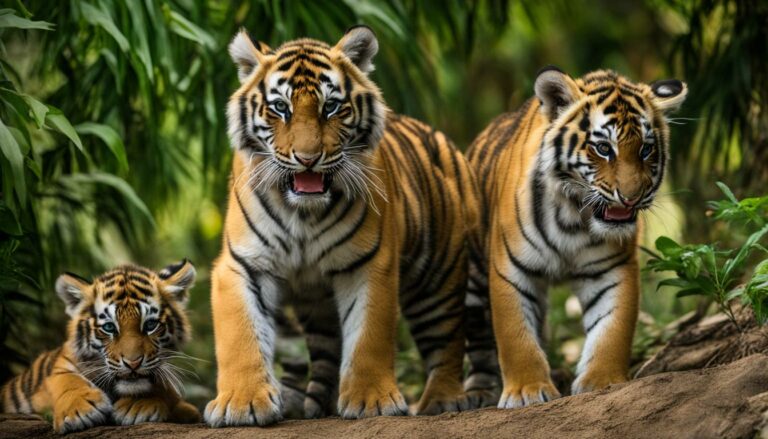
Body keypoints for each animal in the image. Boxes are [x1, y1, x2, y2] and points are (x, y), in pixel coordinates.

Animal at [0, 261, 201, 433]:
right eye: (109, 327)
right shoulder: (57, 370)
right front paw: (79, 410)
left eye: (150, 325)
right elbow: (66, 380)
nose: (133, 363)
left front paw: (138, 406)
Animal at [204, 25, 479, 427]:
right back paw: (314, 406)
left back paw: (442, 399)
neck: (302, 213)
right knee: (324, 351)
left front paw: (370, 401)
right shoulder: (243, 264)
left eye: (330, 106)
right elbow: (240, 336)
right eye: (280, 108)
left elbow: (368, 336)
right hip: (317, 305)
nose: (307, 158)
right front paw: (243, 403)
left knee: (447, 341)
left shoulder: (368, 263)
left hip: (438, 280)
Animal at [463, 67, 687, 408]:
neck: (574, 216)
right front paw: (527, 391)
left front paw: (603, 380)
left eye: (646, 149)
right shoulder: (510, 270)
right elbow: (515, 335)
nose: (631, 198)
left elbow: (612, 328)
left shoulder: (611, 269)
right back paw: (477, 391)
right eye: (604, 148)